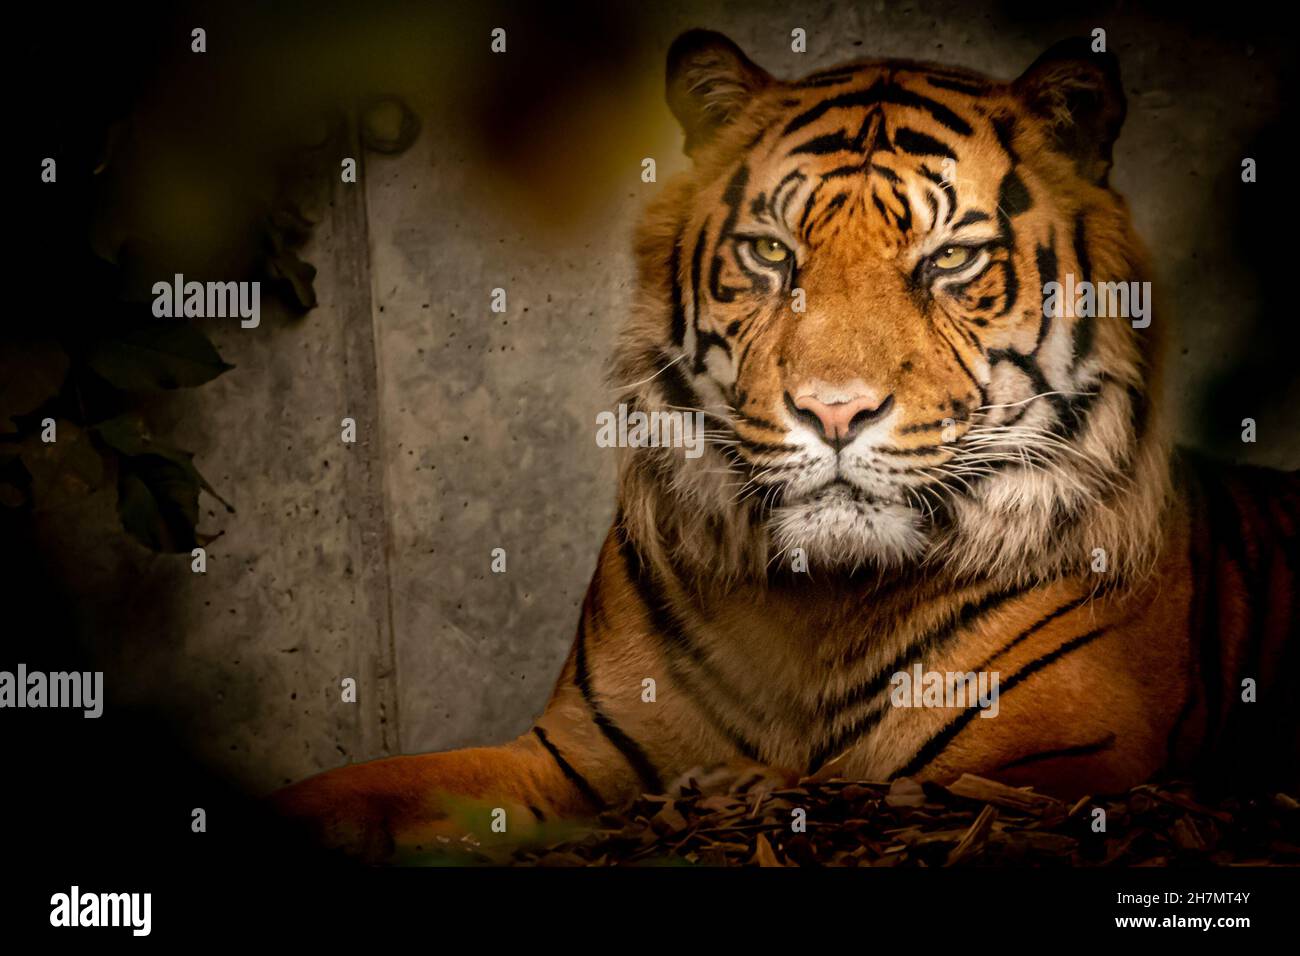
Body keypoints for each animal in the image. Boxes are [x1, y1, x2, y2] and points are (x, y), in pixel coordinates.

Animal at [273, 31, 1300, 862]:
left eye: (950, 261)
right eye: (772, 254)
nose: (834, 412)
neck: (818, 609)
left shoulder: (1056, 763)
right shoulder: (570, 755)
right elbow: (367, 787)